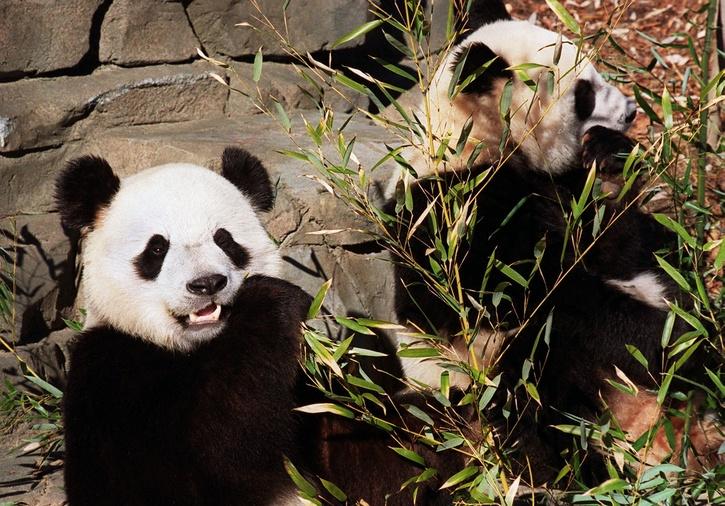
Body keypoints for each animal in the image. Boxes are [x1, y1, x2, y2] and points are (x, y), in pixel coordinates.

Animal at [58, 148, 312, 505]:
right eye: (157, 248)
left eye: (224, 240)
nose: (207, 283)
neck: (196, 345)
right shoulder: (108, 378)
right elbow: (219, 455)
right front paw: (270, 300)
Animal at [385, 0, 721, 481]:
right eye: (583, 92)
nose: (631, 112)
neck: (476, 133)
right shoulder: (453, 216)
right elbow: (534, 295)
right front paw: (669, 337)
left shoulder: (574, 195)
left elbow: (637, 241)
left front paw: (610, 152)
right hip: (477, 384)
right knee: (533, 389)